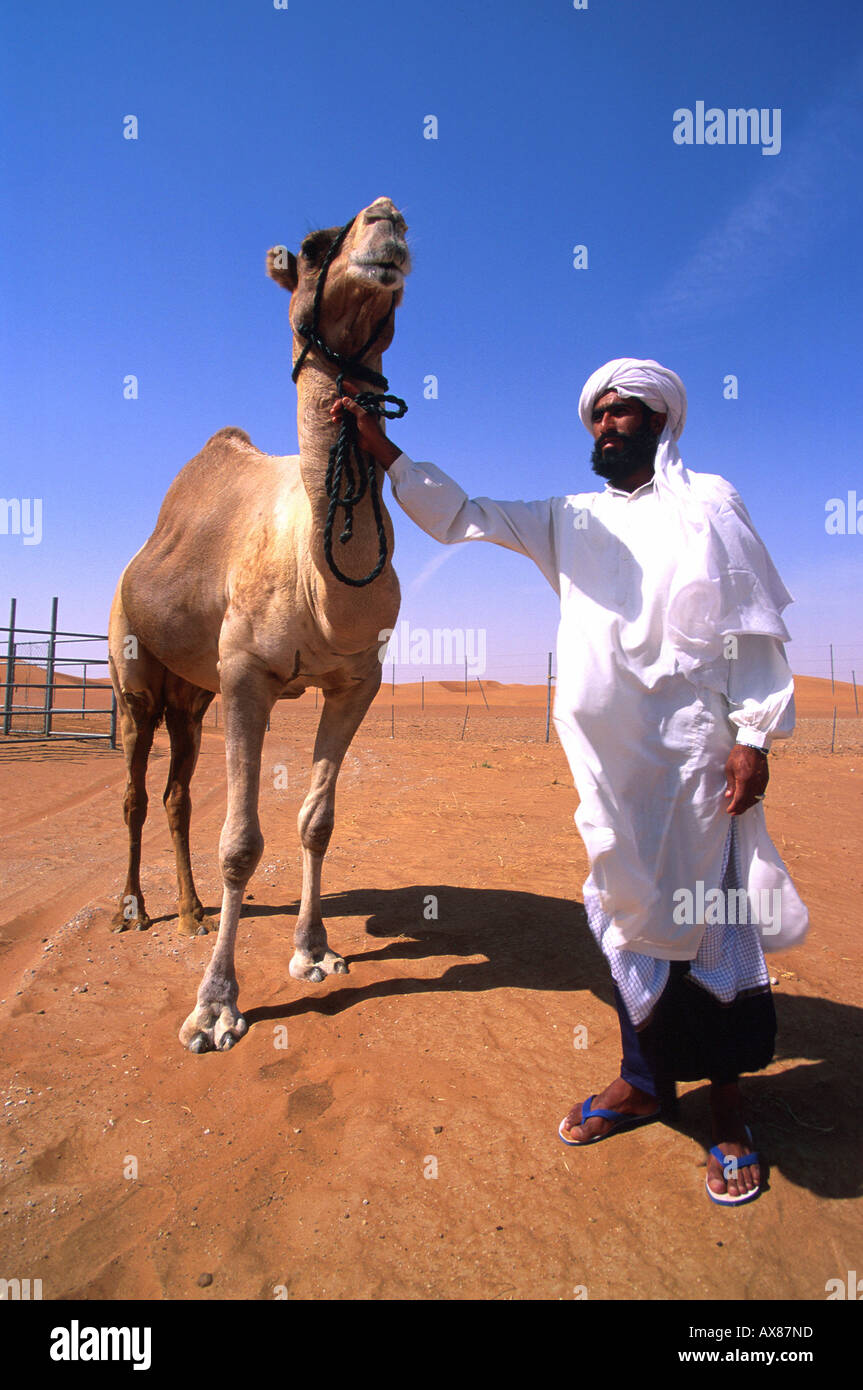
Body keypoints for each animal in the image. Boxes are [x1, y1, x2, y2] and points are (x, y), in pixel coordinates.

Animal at [107, 195, 410, 1051]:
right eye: (312, 246)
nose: (389, 217)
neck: (317, 571)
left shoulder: (354, 682)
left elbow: (316, 822)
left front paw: (313, 952)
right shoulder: (247, 679)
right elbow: (241, 843)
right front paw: (214, 1007)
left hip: (192, 695)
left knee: (176, 793)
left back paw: (188, 911)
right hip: (134, 675)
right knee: (136, 790)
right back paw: (135, 909)